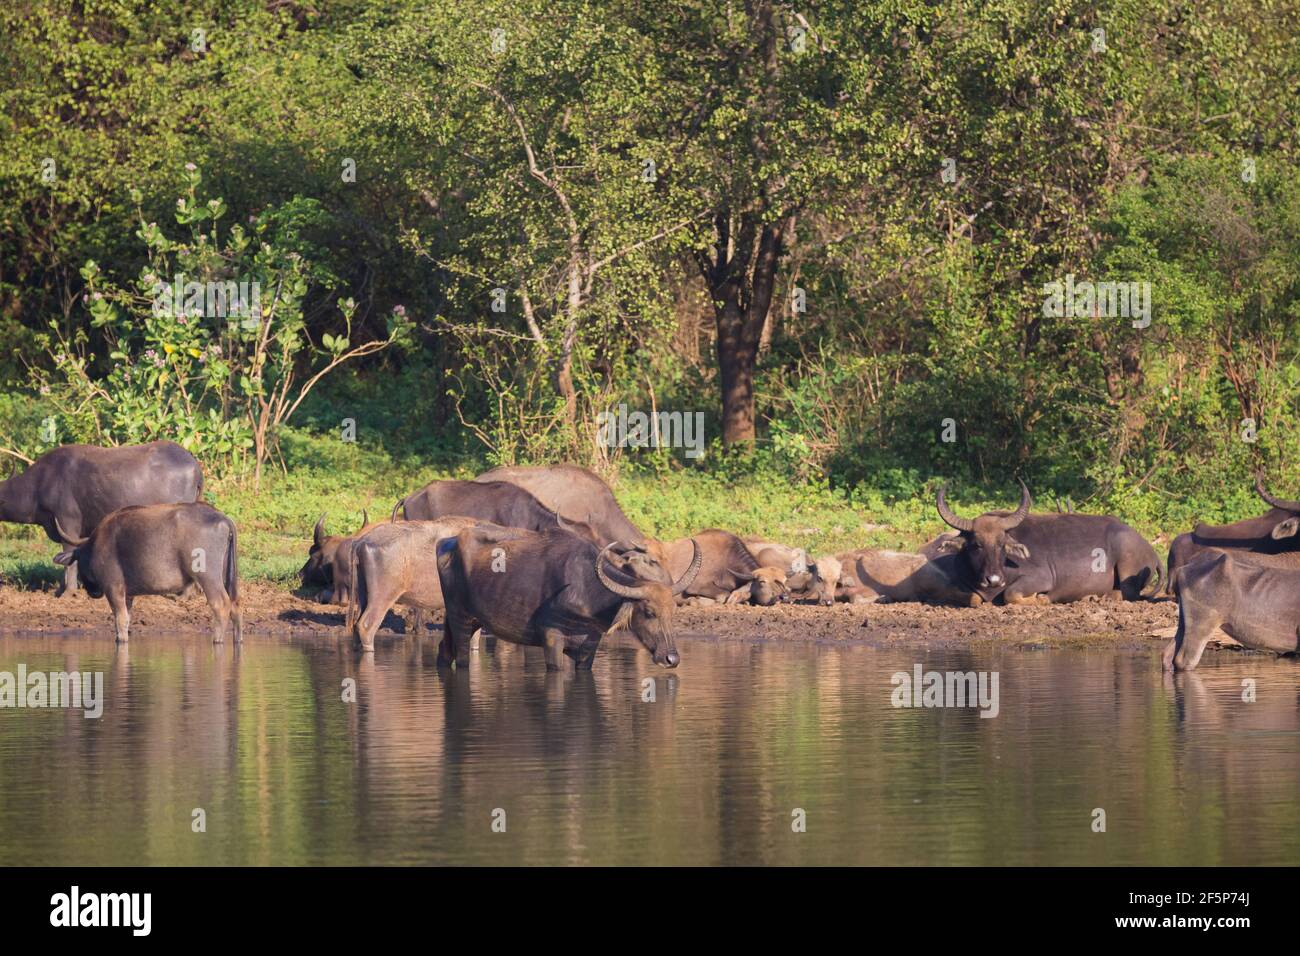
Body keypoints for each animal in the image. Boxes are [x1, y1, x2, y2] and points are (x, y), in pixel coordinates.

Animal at [0, 441, 202, 595]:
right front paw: (59, 589)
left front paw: (69, 592)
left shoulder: (67, 522)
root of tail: (193, 464)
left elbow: (69, 556)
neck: (39, 484)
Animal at [52, 503, 240, 643]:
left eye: (79, 561)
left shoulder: (113, 588)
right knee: (235, 604)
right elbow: (125, 619)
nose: (93, 592)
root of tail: (221, 517)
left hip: (208, 577)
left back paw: (217, 639)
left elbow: (121, 619)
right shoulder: (127, 594)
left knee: (221, 604)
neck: (95, 546)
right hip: (228, 575)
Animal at [436, 526, 701, 670]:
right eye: (648, 612)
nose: (671, 658)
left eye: (672, 613)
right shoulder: (551, 639)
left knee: (443, 651)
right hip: (460, 620)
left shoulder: (588, 648)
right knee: (461, 657)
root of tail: (447, 542)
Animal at [933, 481, 1162, 604]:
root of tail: (1149, 548)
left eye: (1001, 544)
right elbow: (970, 597)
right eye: (976, 544)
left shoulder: (1040, 578)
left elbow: (1010, 593)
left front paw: (1040, 599)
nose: (994, 580)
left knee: (1127, 593)